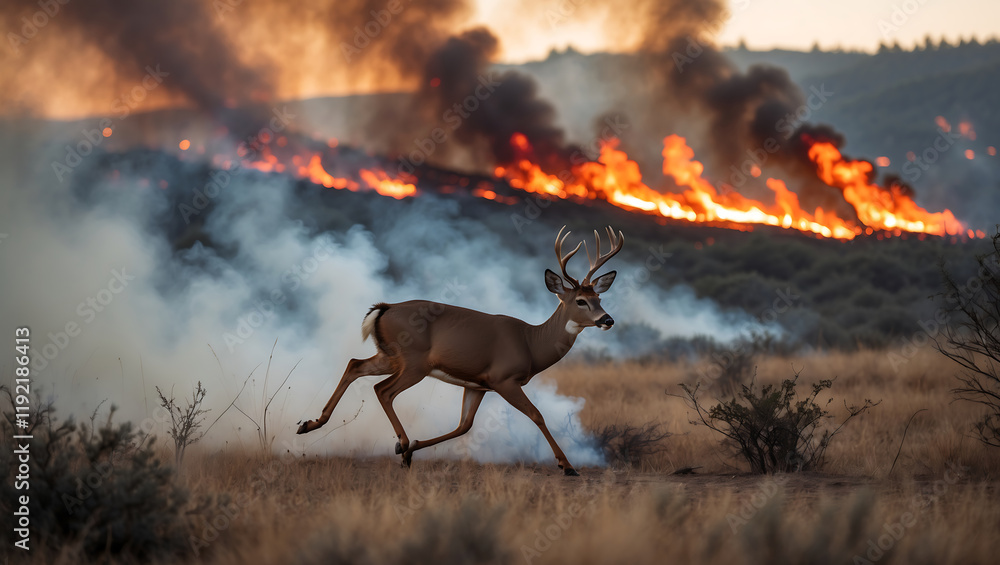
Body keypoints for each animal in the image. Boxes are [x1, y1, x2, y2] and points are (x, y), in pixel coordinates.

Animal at [296, 226, 624, 476]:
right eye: (580, 301)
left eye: (599, 298)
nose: (608, 320)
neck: (531, 344)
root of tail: (384, 308)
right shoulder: (504, 379)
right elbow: (537, 414)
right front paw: (567, 466)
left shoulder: (477, 385)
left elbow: (464, 425)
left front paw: (415, 449)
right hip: (414, 362)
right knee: (383, 390)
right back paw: (400, 442)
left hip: (390, 356)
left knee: (354, 364)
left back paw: (310, 424)